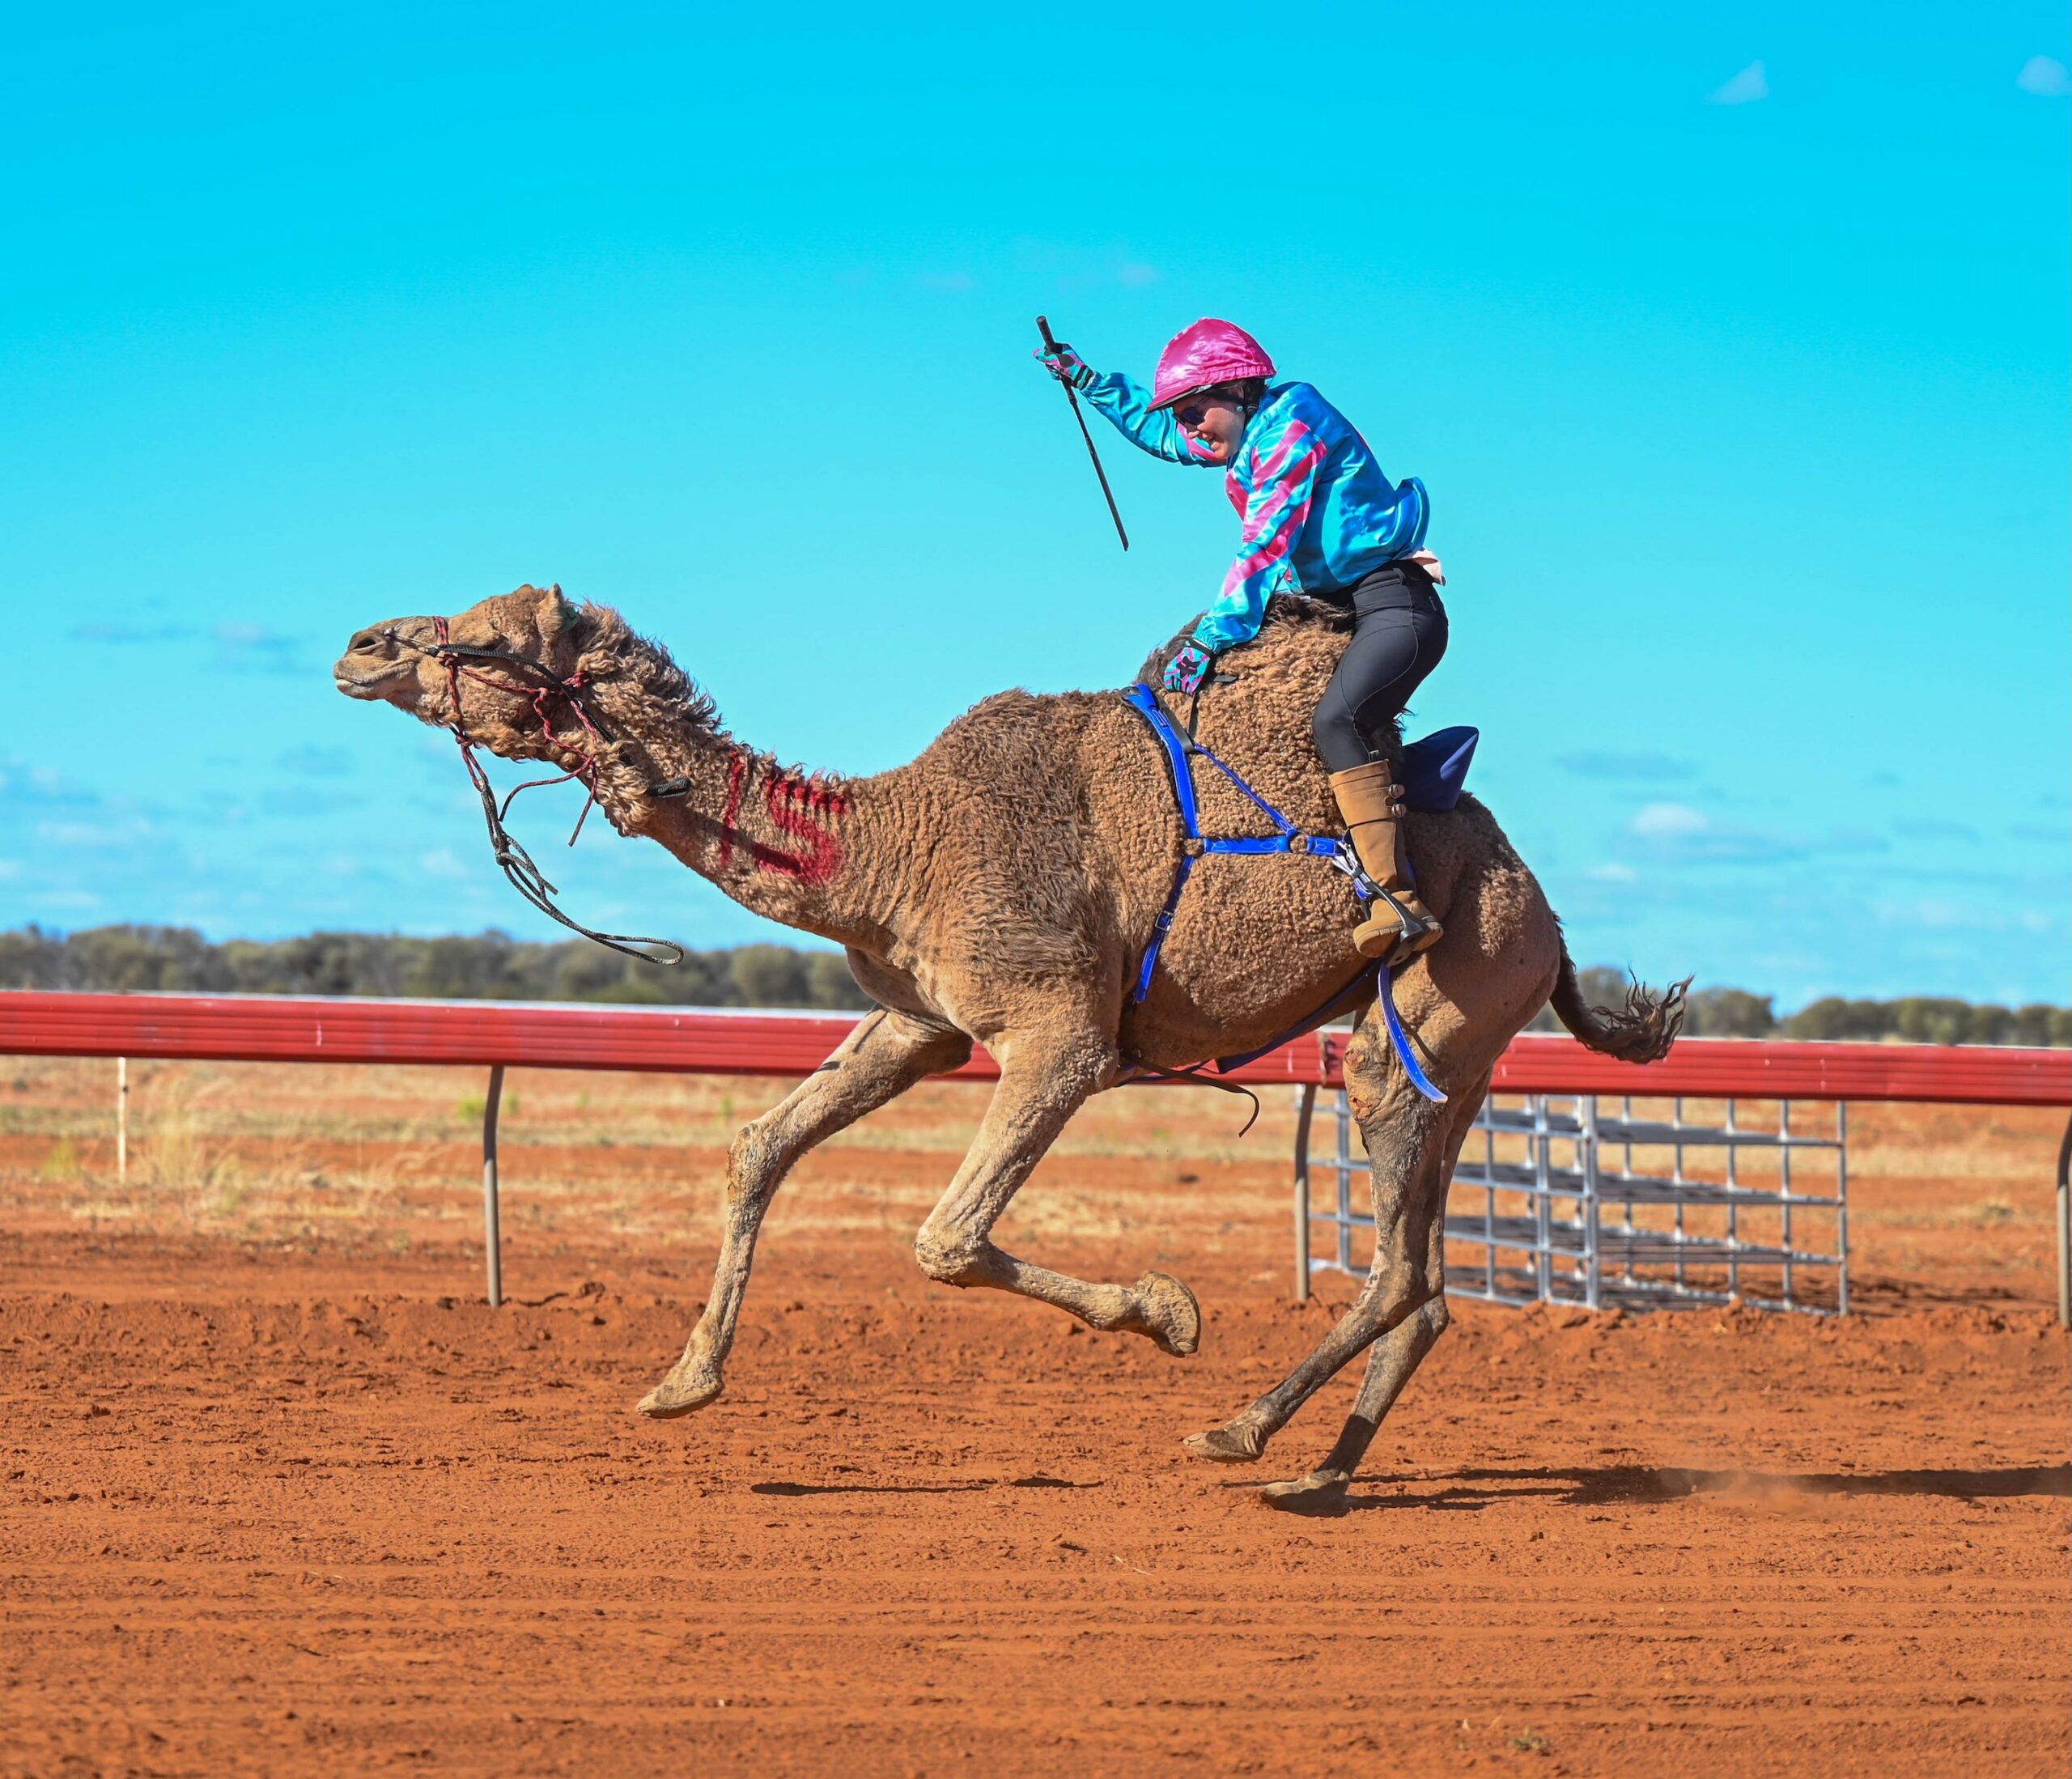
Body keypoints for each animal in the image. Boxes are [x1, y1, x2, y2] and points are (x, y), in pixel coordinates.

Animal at [333, 583, 1683, 1503]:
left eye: (489, 635)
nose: (358, 645)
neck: (893, 842)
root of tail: (1550, 917)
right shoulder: (923, 1023)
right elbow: (762, 1143)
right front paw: (682, 1382)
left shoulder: (1058, 1035)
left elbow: (945, 1237)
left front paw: (1168, 1311)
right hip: (1458, 1055)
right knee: (1431, 1282)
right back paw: (1320, 1472)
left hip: (1437, 1004)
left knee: (1399, 1266)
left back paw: (1240, 1430)